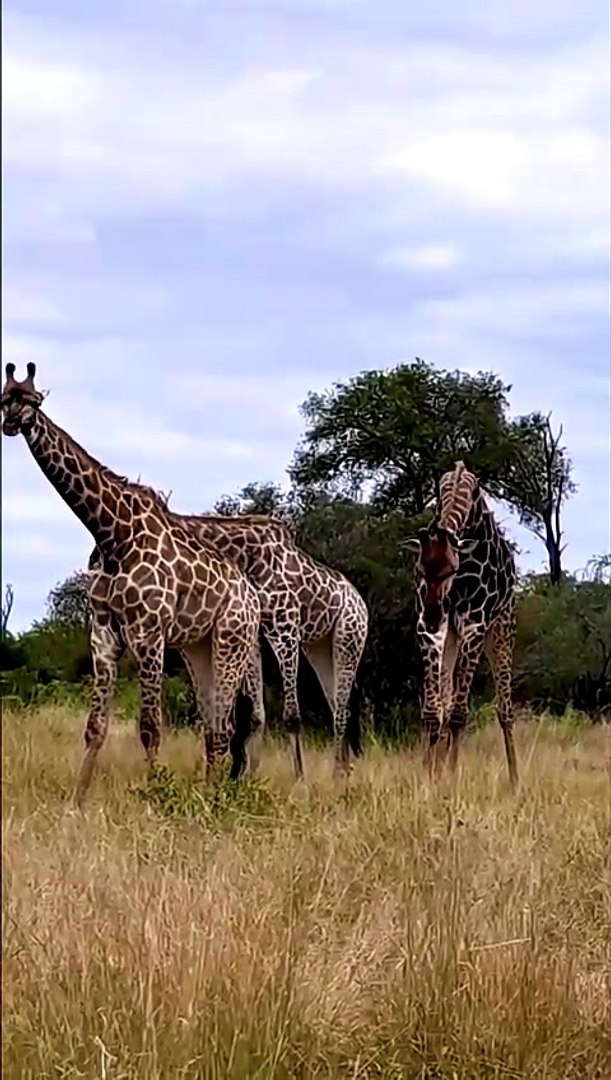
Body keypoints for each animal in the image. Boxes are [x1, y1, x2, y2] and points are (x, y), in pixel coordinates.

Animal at [1, 363, 261, 803]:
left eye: (33, 401)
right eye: (5, 398)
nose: (10, 424)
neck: (111, 533)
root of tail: (252, 596)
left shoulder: (148, 632)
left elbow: (150, 727)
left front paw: (156, 794)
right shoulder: (103, 632)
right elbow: (94, 727)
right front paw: (77, 800)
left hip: (232, 640)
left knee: (224, 725)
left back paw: (212, 798)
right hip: (199, 649)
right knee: (213, 727)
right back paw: (208, 792)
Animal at [88, 511, 369, 779]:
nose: (93, 564)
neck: (247, 555)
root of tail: (361, 604)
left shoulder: (285, 626)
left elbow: (291, 715)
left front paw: (299, 780)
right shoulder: (255, 634)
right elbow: (256, 714)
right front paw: (250, 779)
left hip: (349, 636)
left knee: (341, 711)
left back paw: (337, 777)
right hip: (320, 647)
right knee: (339, 707)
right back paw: (343, 775)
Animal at [403, 460, 519, 788]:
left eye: (452, 569)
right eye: (420, 569)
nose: (432, 617)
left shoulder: (474, 625)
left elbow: (458, 712)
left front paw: (452, 778)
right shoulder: (431, 630)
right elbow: (434, 710)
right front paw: (429, 776)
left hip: (501, 627)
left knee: (505, 708)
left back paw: (515, 782)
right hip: (451, 637)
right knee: (445, 699)